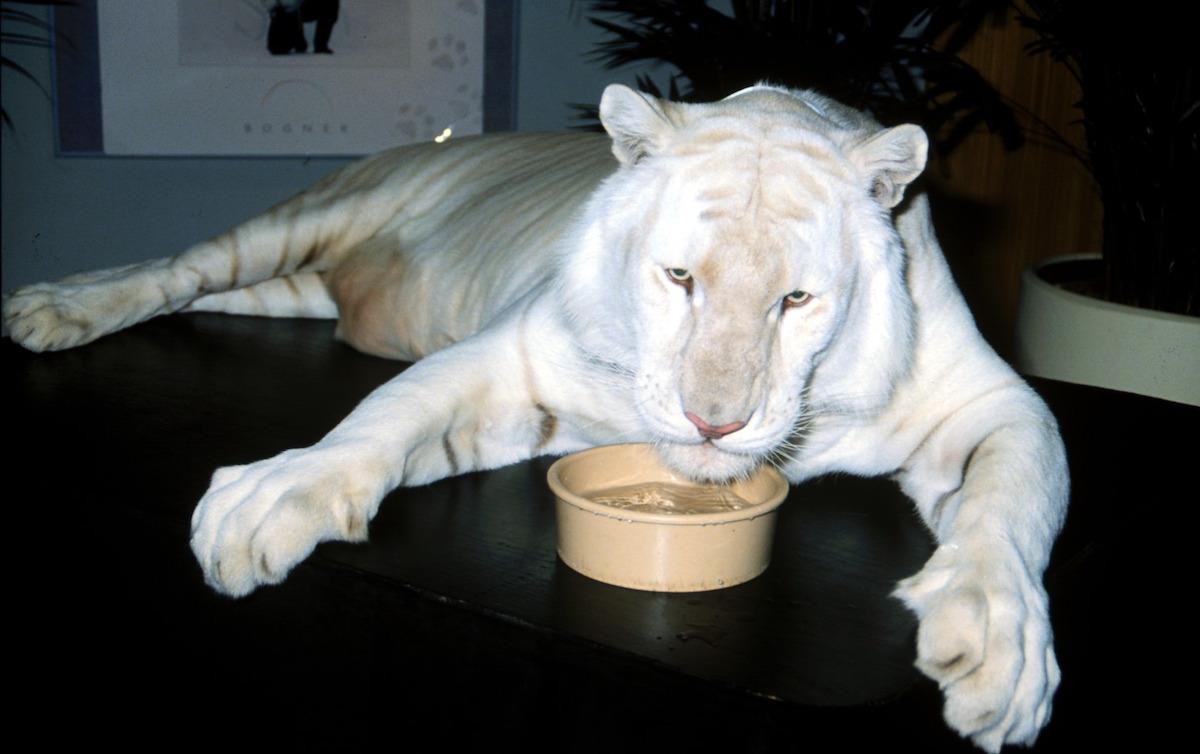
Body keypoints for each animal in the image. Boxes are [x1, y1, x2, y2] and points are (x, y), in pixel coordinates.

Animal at [3, 84, 1068, 752]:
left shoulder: (996, 403)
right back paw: (51, 307)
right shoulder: (511, 353)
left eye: (796, 300)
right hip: (307, 218)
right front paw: (266, 502)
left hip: (294, 289)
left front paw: (998, 649)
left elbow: (1013, 504)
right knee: (174, 267)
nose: (713, 425)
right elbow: (383, 414)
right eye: (678, 277)